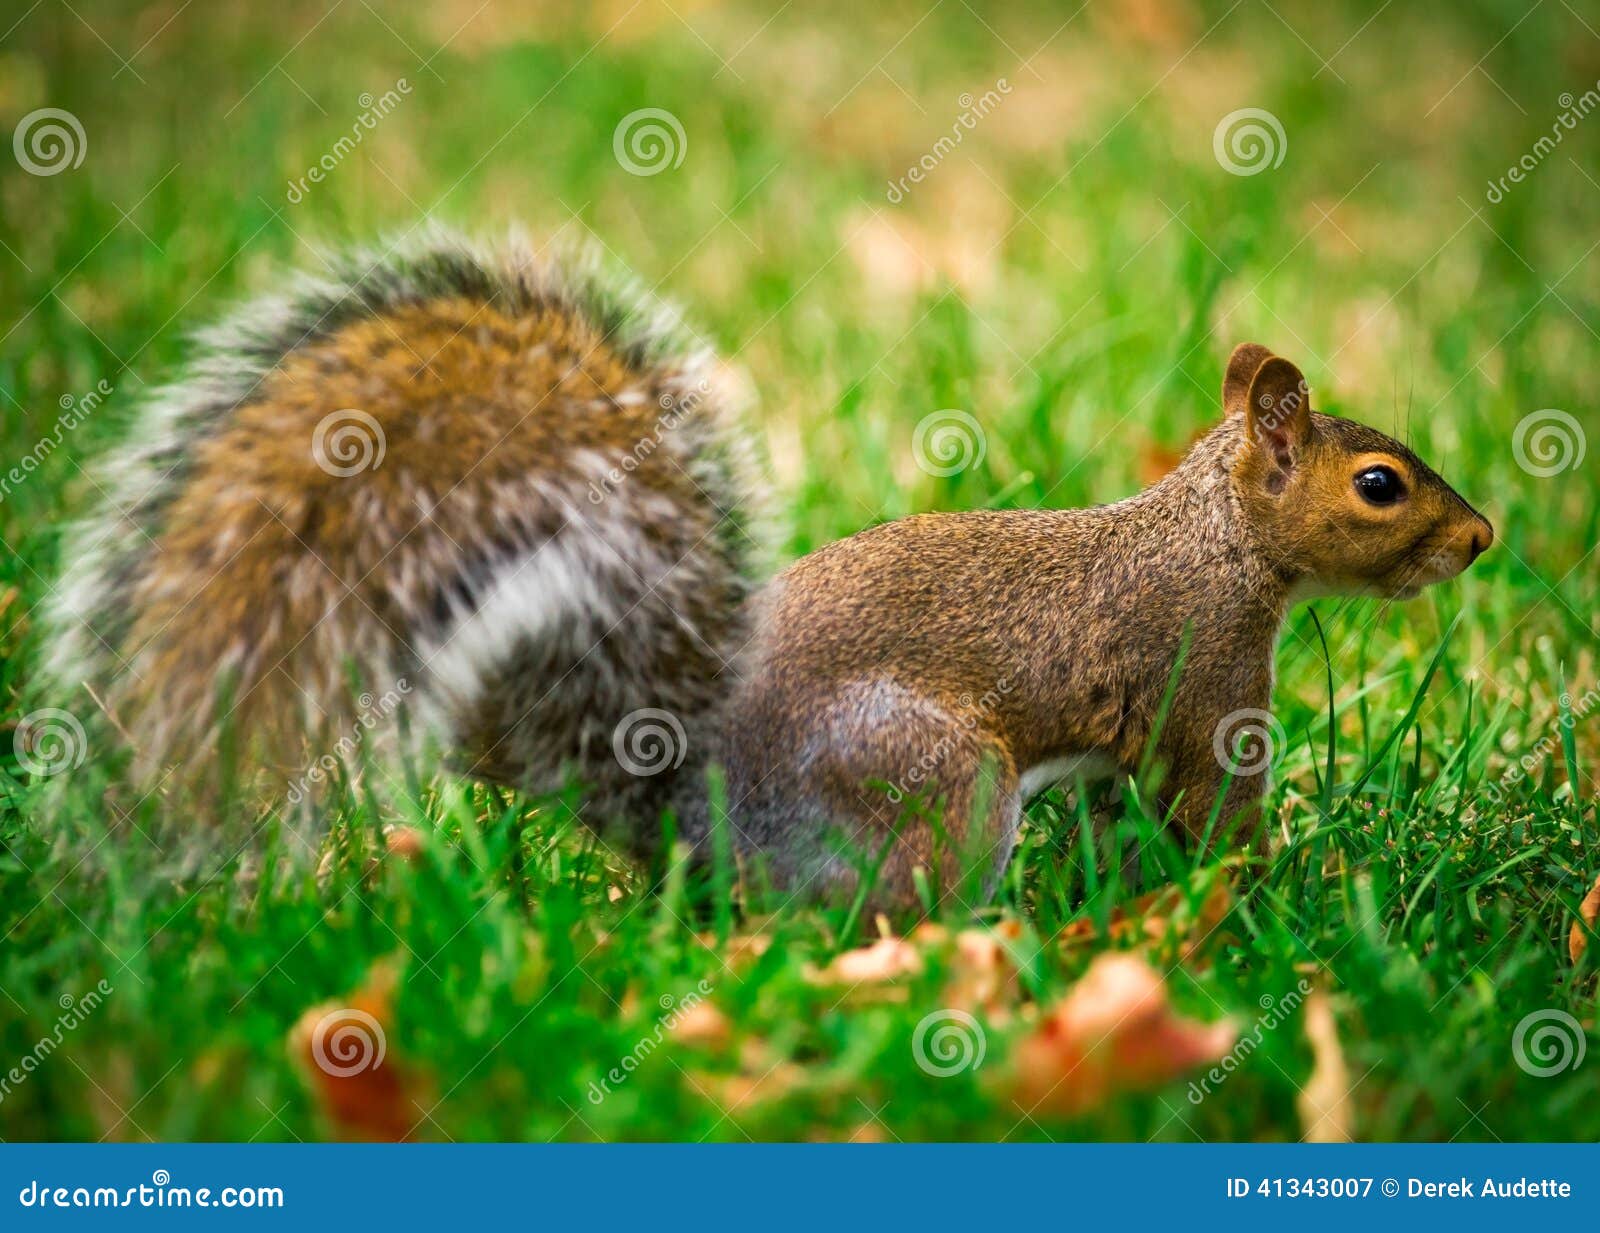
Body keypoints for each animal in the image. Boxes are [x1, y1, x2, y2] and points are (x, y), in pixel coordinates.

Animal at [42, 230, 1494, 905]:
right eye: (1379, 484)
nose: (1480, 539)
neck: (1209, 537)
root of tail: (690, 817)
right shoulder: (1204, 677)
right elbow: (1215, 806)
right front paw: (1265, 897)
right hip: (937, 780)